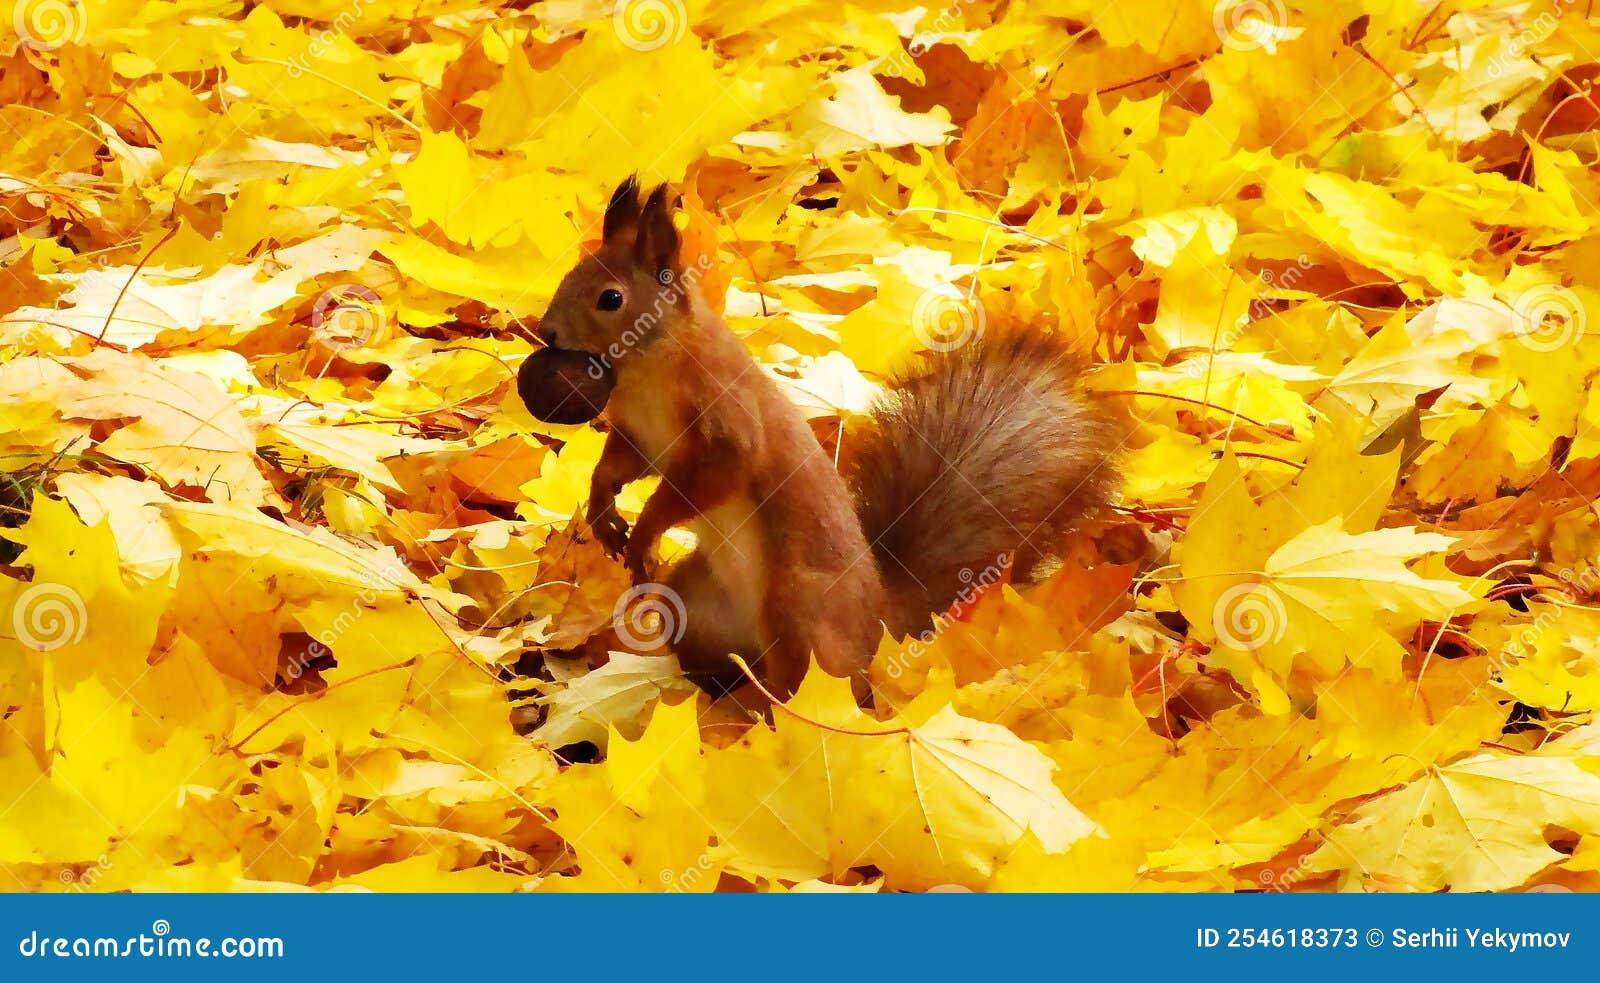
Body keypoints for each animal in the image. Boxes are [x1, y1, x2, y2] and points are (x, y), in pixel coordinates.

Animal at [528, 177, 1117, 701]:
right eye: (571, 273)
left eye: (611, 298)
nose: (546, 331)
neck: (647, 368)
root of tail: (879, 626)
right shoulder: (638, 432)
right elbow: (618, 466)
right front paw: (603, 512)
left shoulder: (726, 424)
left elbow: (706, 480)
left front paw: (645, 532)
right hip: (696, 600)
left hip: (798, 610)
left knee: (820, 684)